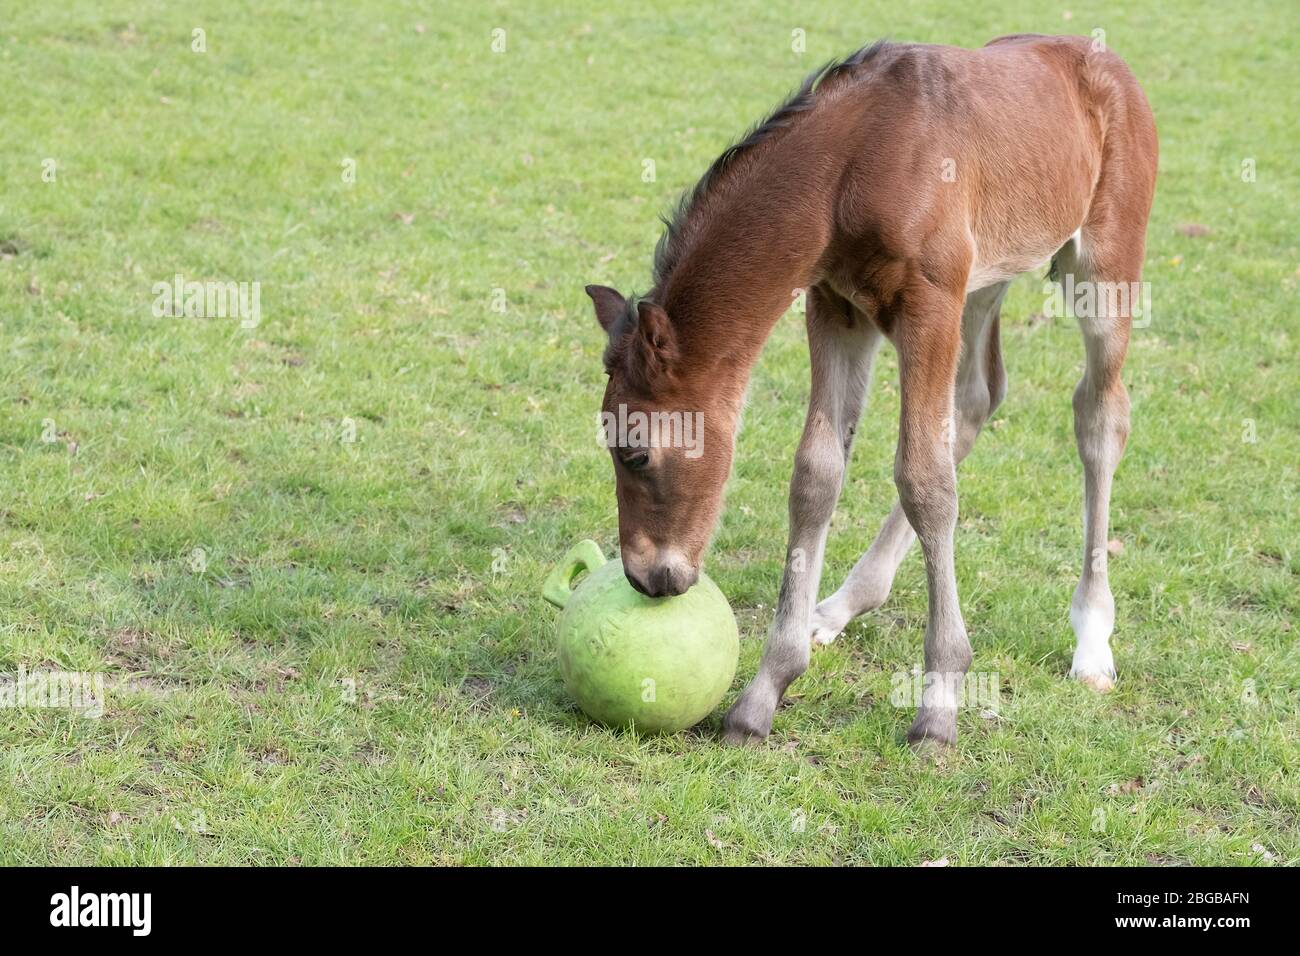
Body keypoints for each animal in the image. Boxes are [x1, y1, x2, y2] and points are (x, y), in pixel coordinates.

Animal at [584, 34, 1158, 748]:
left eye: (635, 452)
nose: (647, 578)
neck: (850, 168)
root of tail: (1103, 58)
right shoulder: (837, 307)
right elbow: (817, 475)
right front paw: (764, 692)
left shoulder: (928, 301)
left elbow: (924, 480)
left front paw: (939, 704)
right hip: (985, 278)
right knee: (977, 398)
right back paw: (838, 607)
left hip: (1104, 264)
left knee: (1099, 417)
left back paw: (1092, 641)